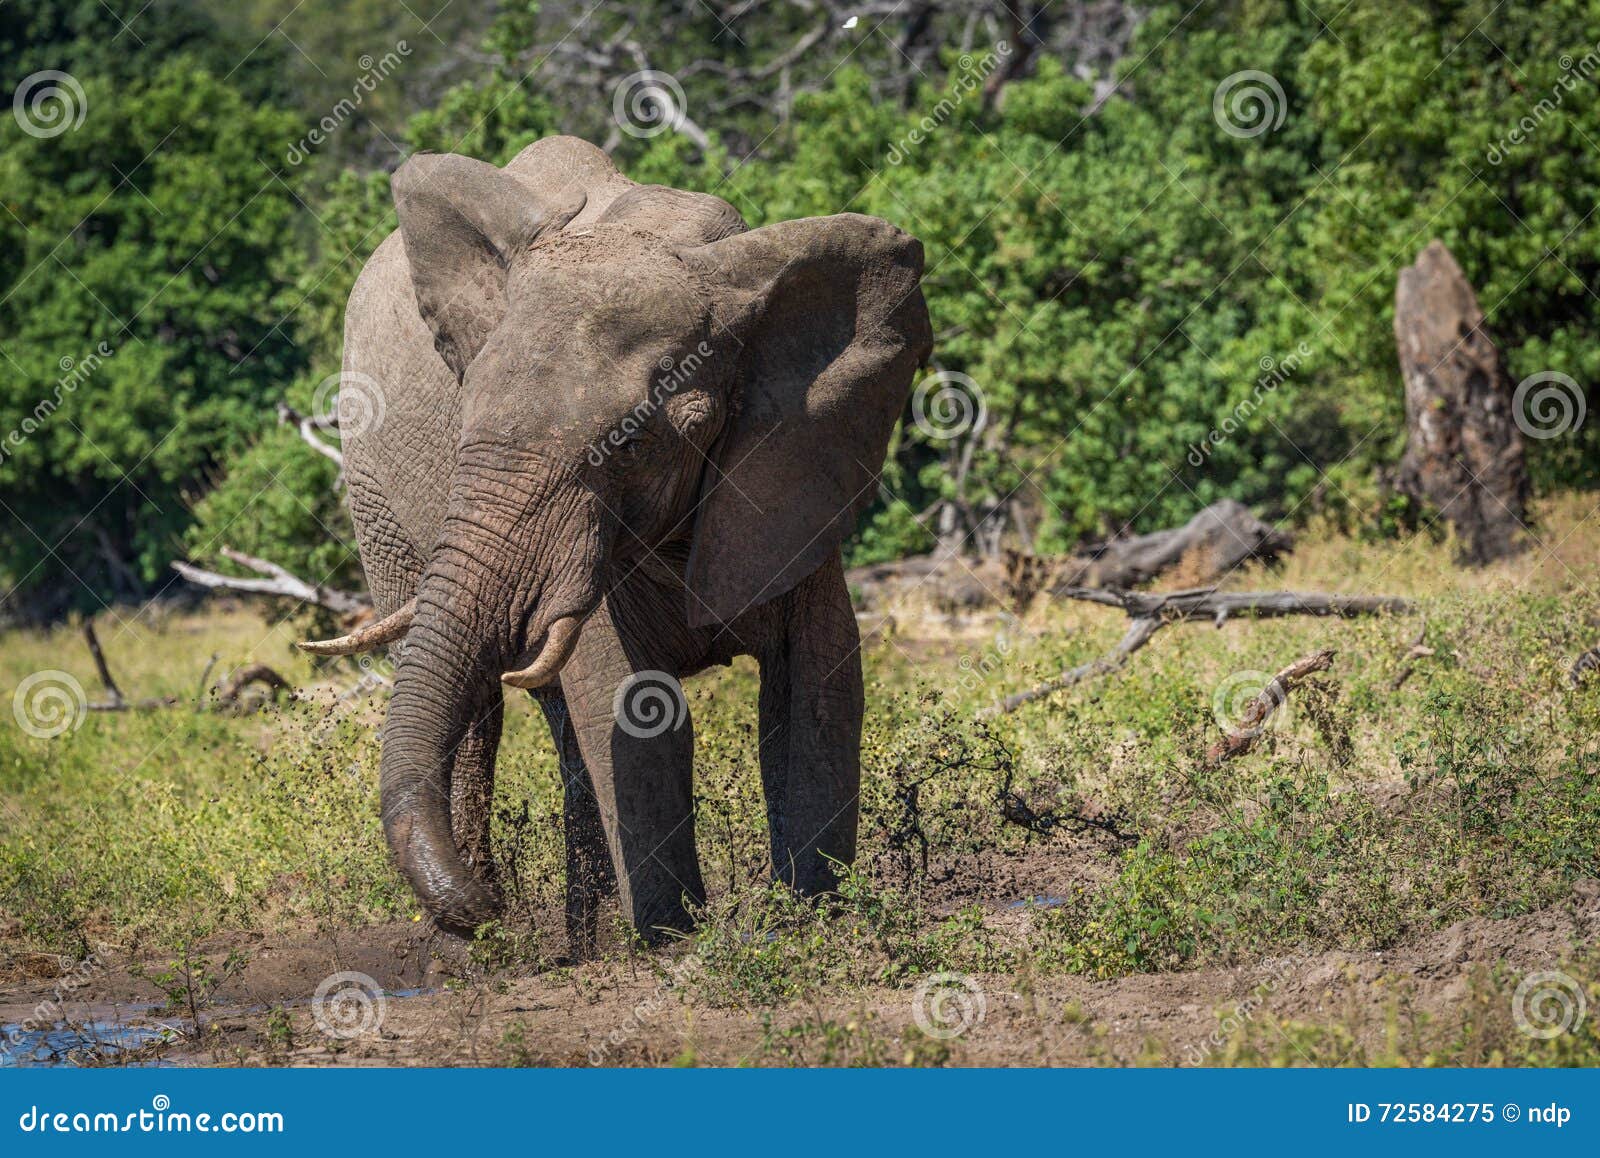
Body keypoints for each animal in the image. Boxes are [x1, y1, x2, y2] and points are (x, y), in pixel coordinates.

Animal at [301, 135, 931, 946]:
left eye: (633, 445)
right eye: (462, 414)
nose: (491, 913)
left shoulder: (798, 459)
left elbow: (819, 682)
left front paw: (812, 918)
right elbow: (627, 701)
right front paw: (672, 941)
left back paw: (579, 933)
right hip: (373, 488)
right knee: (481, 708)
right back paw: (481, 949)